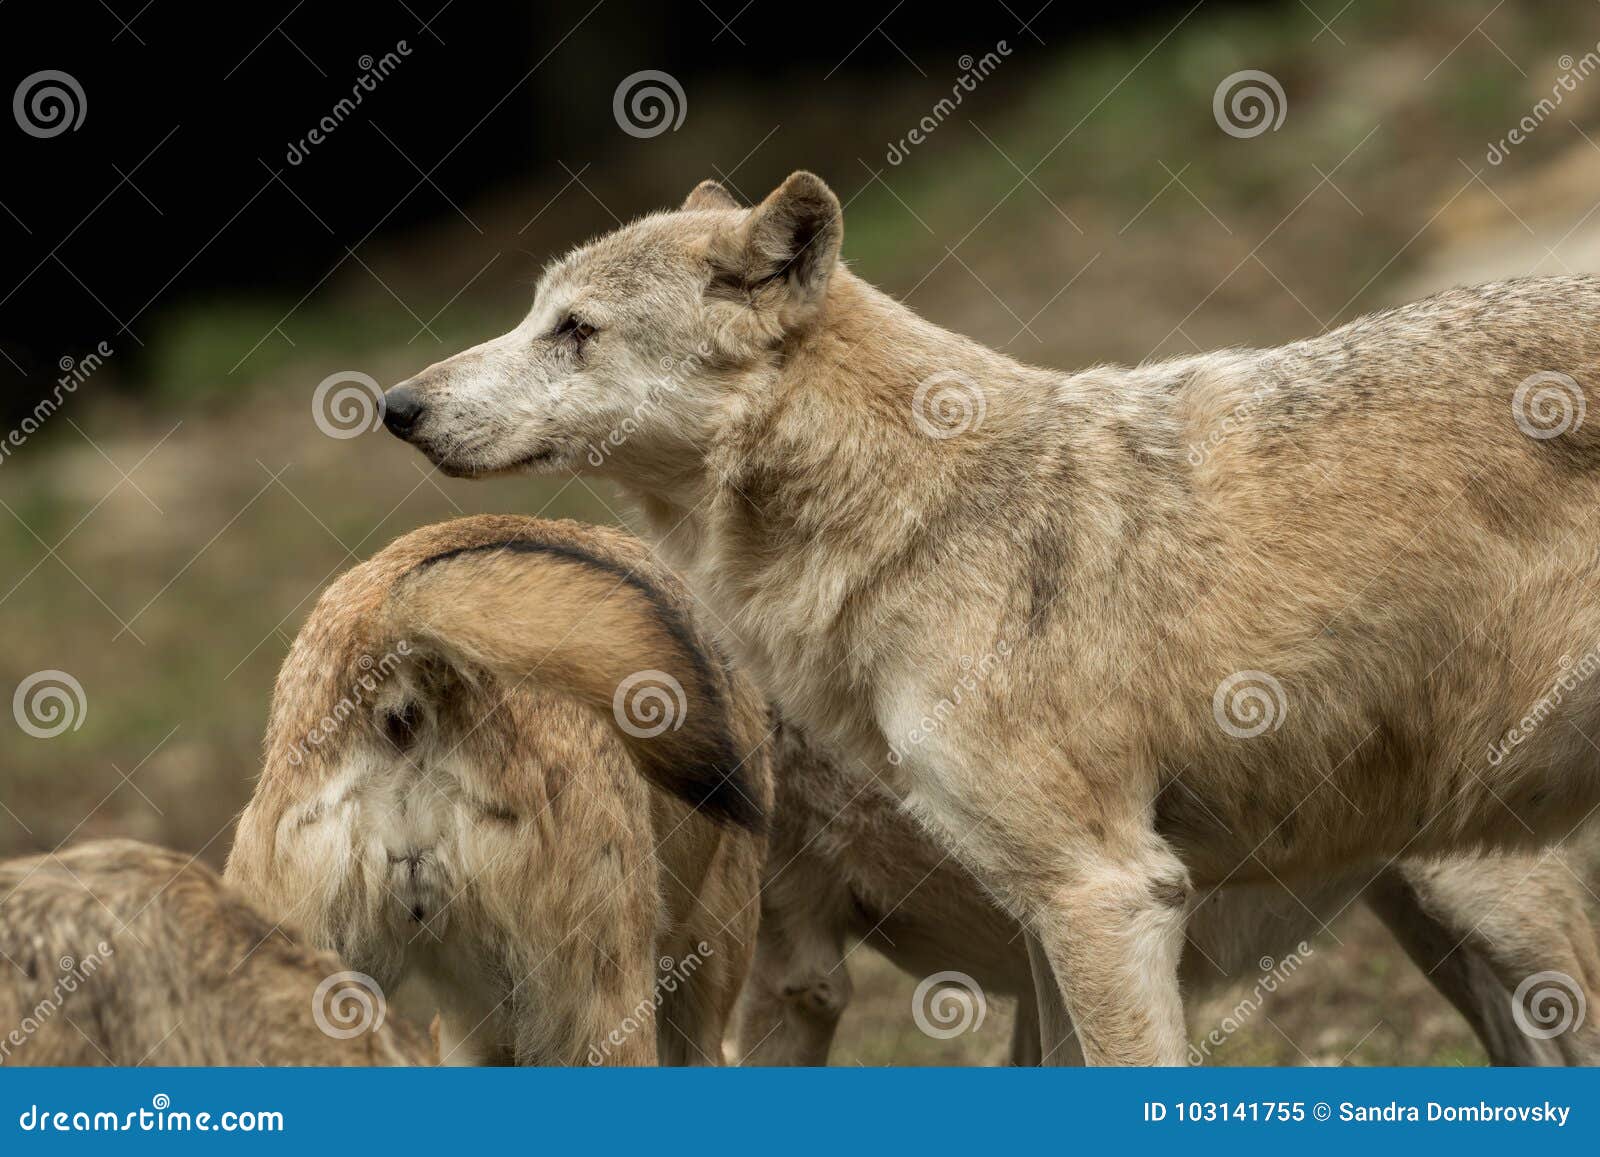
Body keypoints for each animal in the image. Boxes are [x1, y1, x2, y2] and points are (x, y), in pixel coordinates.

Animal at [381, 172, 1600, 1064]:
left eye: (574, 331)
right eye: (531, 316)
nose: (395, 404)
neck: (913, 518)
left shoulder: (1103, 895)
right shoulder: (1037, 927)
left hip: (1487, 894)